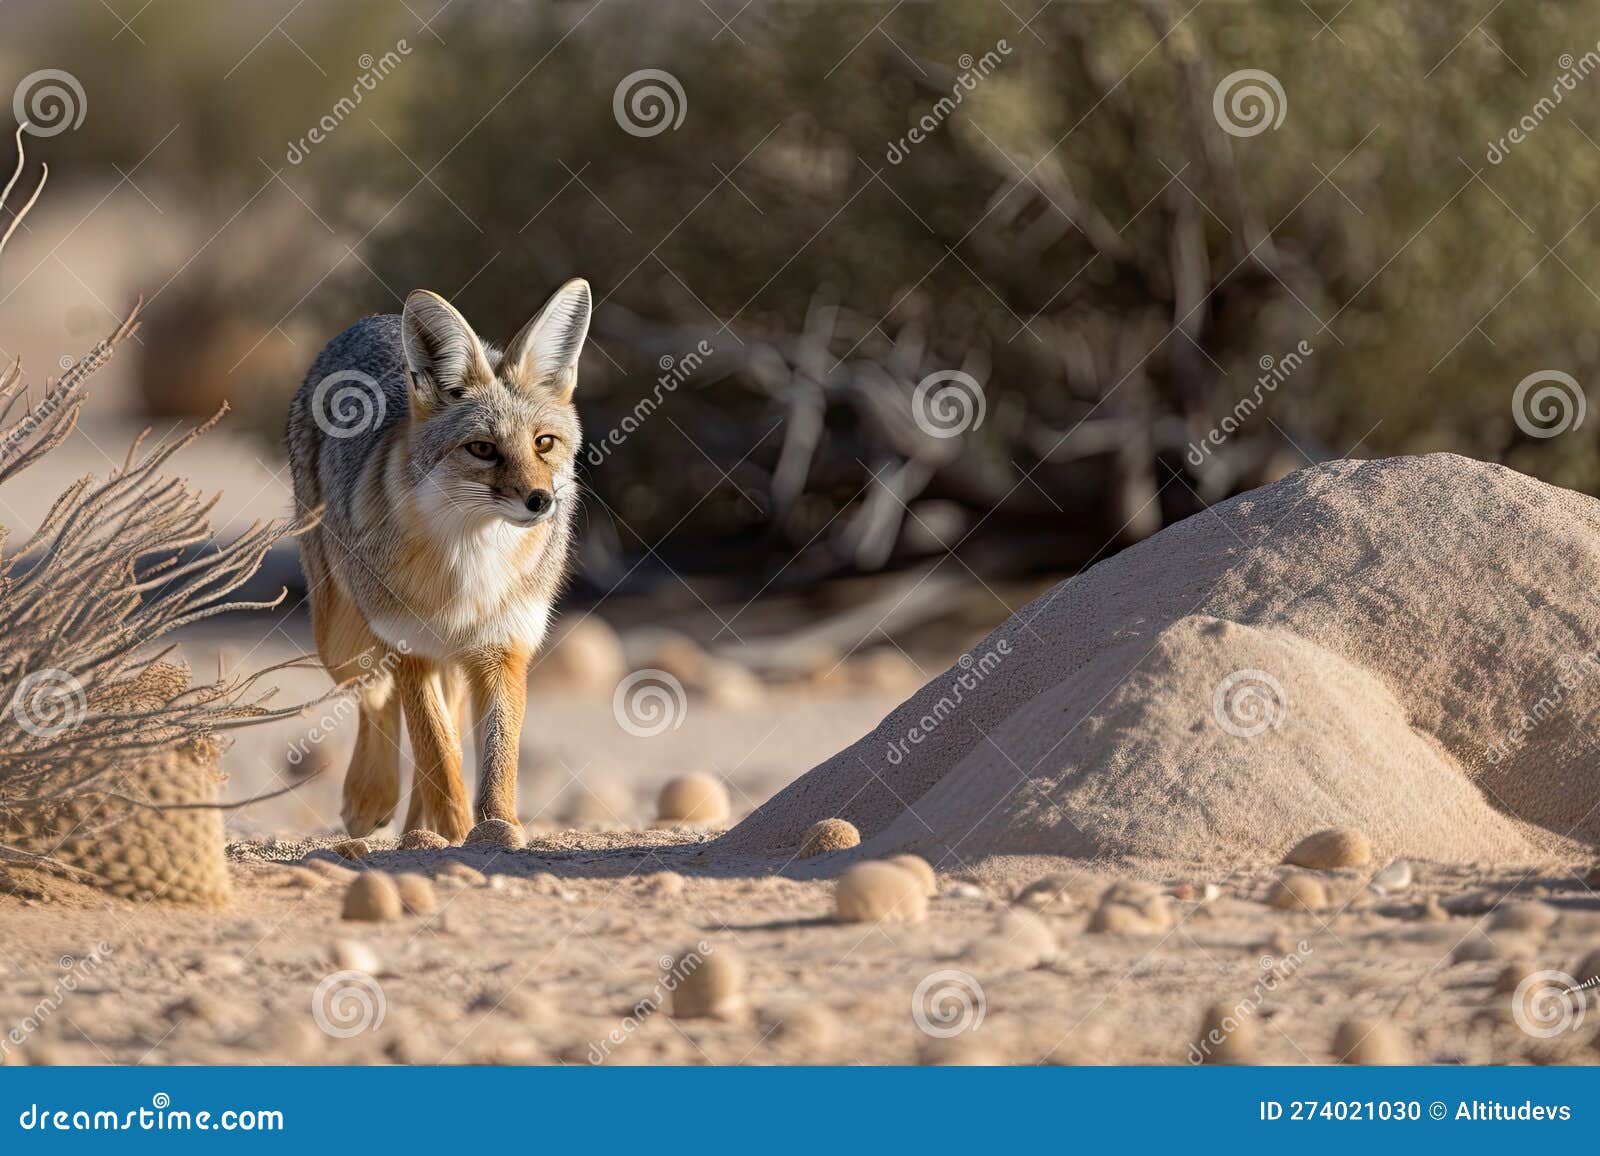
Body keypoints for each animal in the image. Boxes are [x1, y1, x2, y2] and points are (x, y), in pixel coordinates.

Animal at [285, 279, 591, 843]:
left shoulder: (503, 649)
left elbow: (495, 760)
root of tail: (374, 320)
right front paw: (453, 831)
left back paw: (411, 824)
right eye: (483, 449)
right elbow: (438, 756)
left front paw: (496, 827)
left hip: (447, 657)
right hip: (340, 642)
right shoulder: (411, 648)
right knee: (376, 697)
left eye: (543, 443)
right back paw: (372, 798)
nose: (540, 501)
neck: (471, 566)